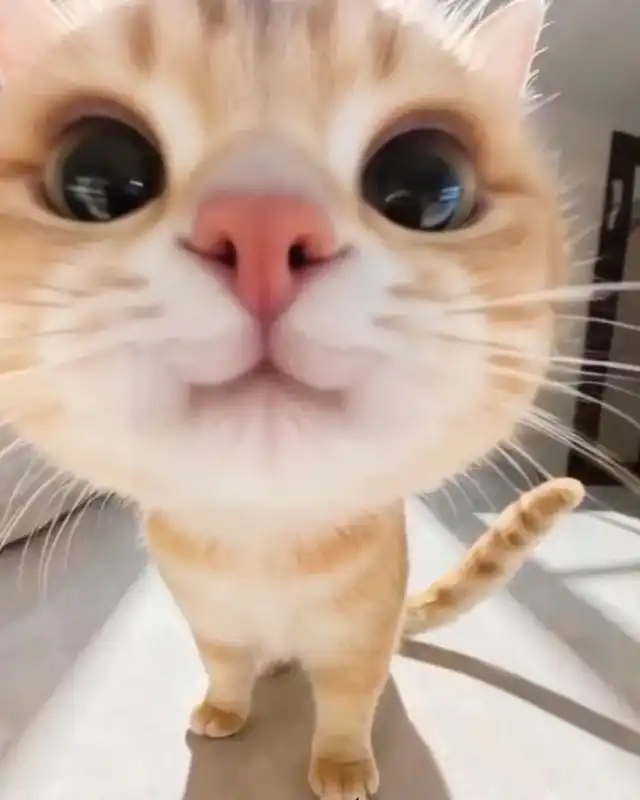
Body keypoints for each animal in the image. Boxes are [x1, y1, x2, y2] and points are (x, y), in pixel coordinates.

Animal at [0, 0, 585, 797]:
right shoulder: (209, 620)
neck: (264, 546)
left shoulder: (359, 640)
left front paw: (340, 762)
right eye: (98, 176)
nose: (262, 225)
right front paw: (225, 705)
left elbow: (347, 702)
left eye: (431, 186)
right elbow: (224, 665)